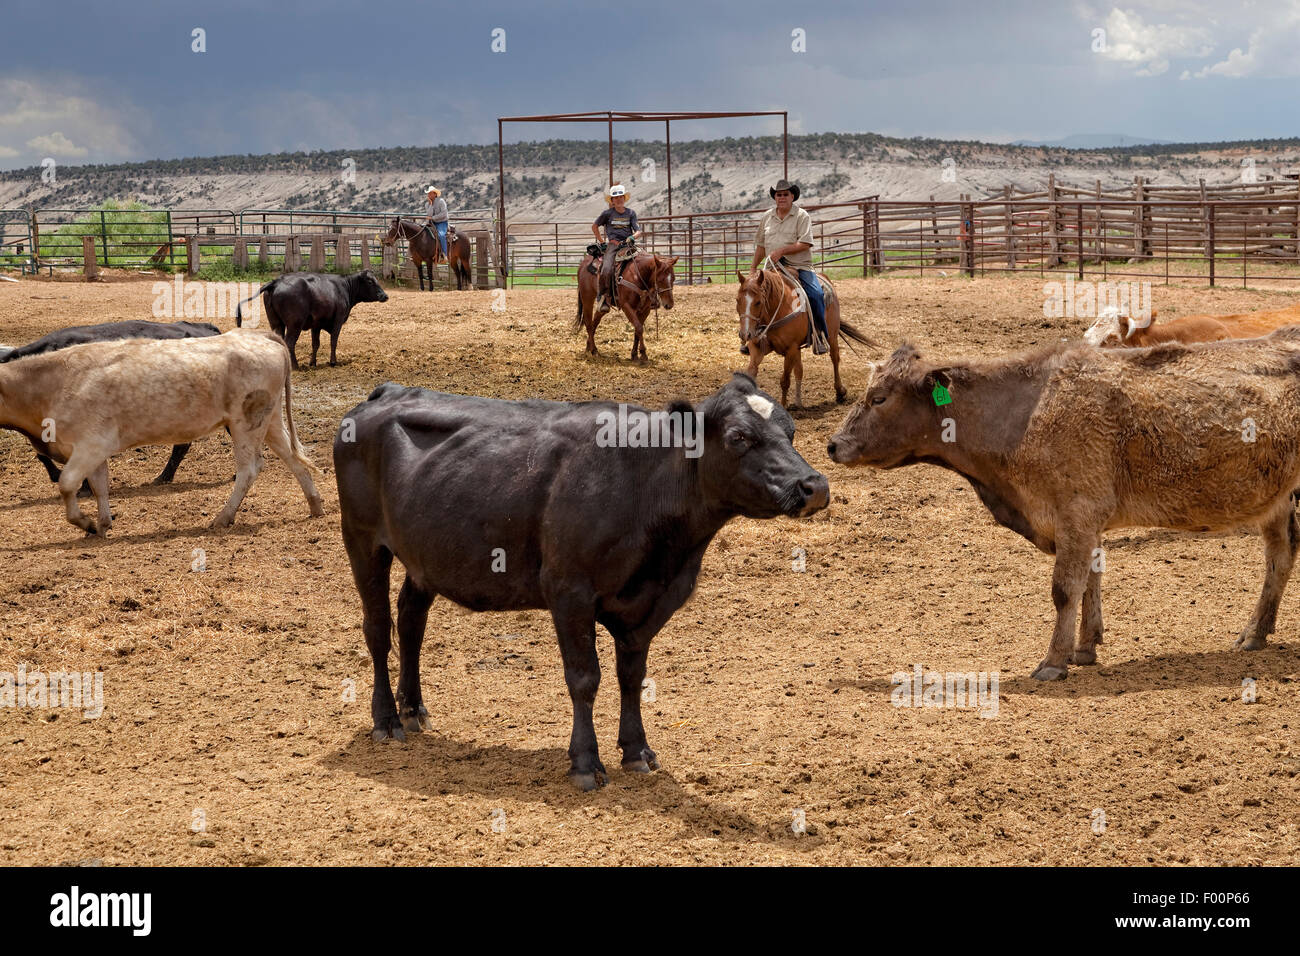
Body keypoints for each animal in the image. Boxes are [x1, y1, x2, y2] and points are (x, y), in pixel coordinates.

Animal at [235, 269, 388, 369]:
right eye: (370, 281)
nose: (384, 296)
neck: (344, 287)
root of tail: (276, 282)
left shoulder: (316, 325)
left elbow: (316, 344)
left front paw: (312, 362)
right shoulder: (338, 320)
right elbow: (333, 341)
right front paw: (333, 362)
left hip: (276, 323)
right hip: (295, 324)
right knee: (289, 343)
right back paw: (295, 366)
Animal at [334, 372, 830, 790]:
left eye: (790, 430)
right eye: (739, 438)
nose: (814, 486)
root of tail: (387, 392)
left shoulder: (650, 603)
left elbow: (632, 676)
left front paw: (636, 751)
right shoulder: (568, 591)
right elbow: (584, 678)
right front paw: (586, 763)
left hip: (425, 555)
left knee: (411, 621)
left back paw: (413, 710)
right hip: (361, 539)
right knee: (378, 629)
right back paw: (386, 720)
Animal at [827, 331, 1300, 680]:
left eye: (879, 398)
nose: (833, 444)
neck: (1025, 414)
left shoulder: (1077, 511)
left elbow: (1064, 588)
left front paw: (1053, 661)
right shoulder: (1083, 522)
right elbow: (1091, 579)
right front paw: (1084, 648)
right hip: (1278, 500)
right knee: (1281, 553)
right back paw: (1255, 632)